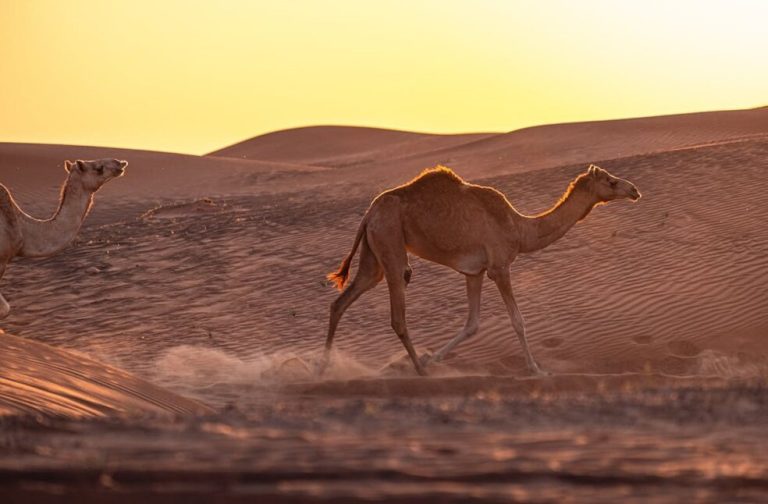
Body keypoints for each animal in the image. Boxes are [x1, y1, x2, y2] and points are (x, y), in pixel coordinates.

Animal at [323, 164, 640, 376]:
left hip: (373, 253)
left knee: (340, 302)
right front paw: (536, 369)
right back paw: (419, 372)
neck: (521, 229)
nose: (634, 190)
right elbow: (517, 320)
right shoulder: (499, 267)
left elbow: (472, 324)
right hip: (390, 240)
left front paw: (431, 358)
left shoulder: (473, 272)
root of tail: (368, 214)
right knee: (397, 314)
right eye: (611, 181)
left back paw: (322, 367)